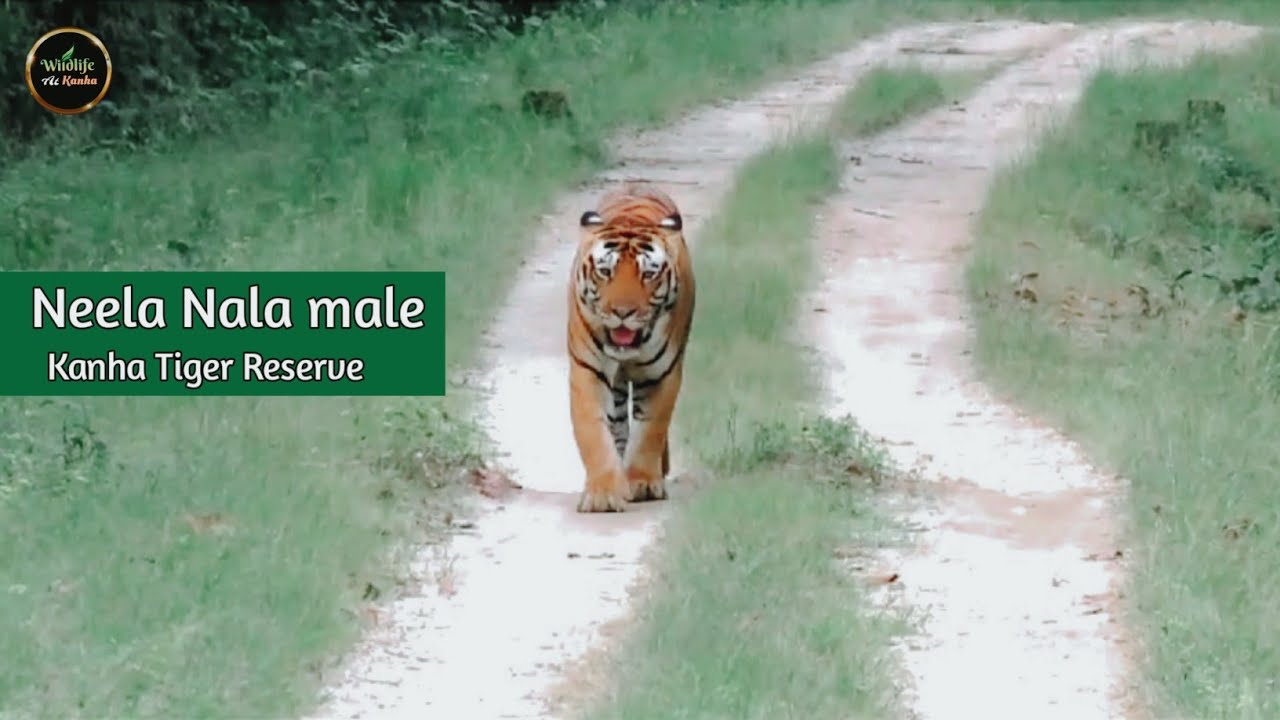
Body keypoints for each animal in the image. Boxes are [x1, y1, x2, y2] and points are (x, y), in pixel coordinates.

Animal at [566, 183, 696, 513]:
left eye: (648, 274)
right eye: (605, 272)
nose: (622, 312)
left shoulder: (661, 375)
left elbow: (650, 429)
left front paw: (642, 483)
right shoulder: (587, 370)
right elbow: (593, 431)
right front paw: (603, 494)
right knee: (617, 422)